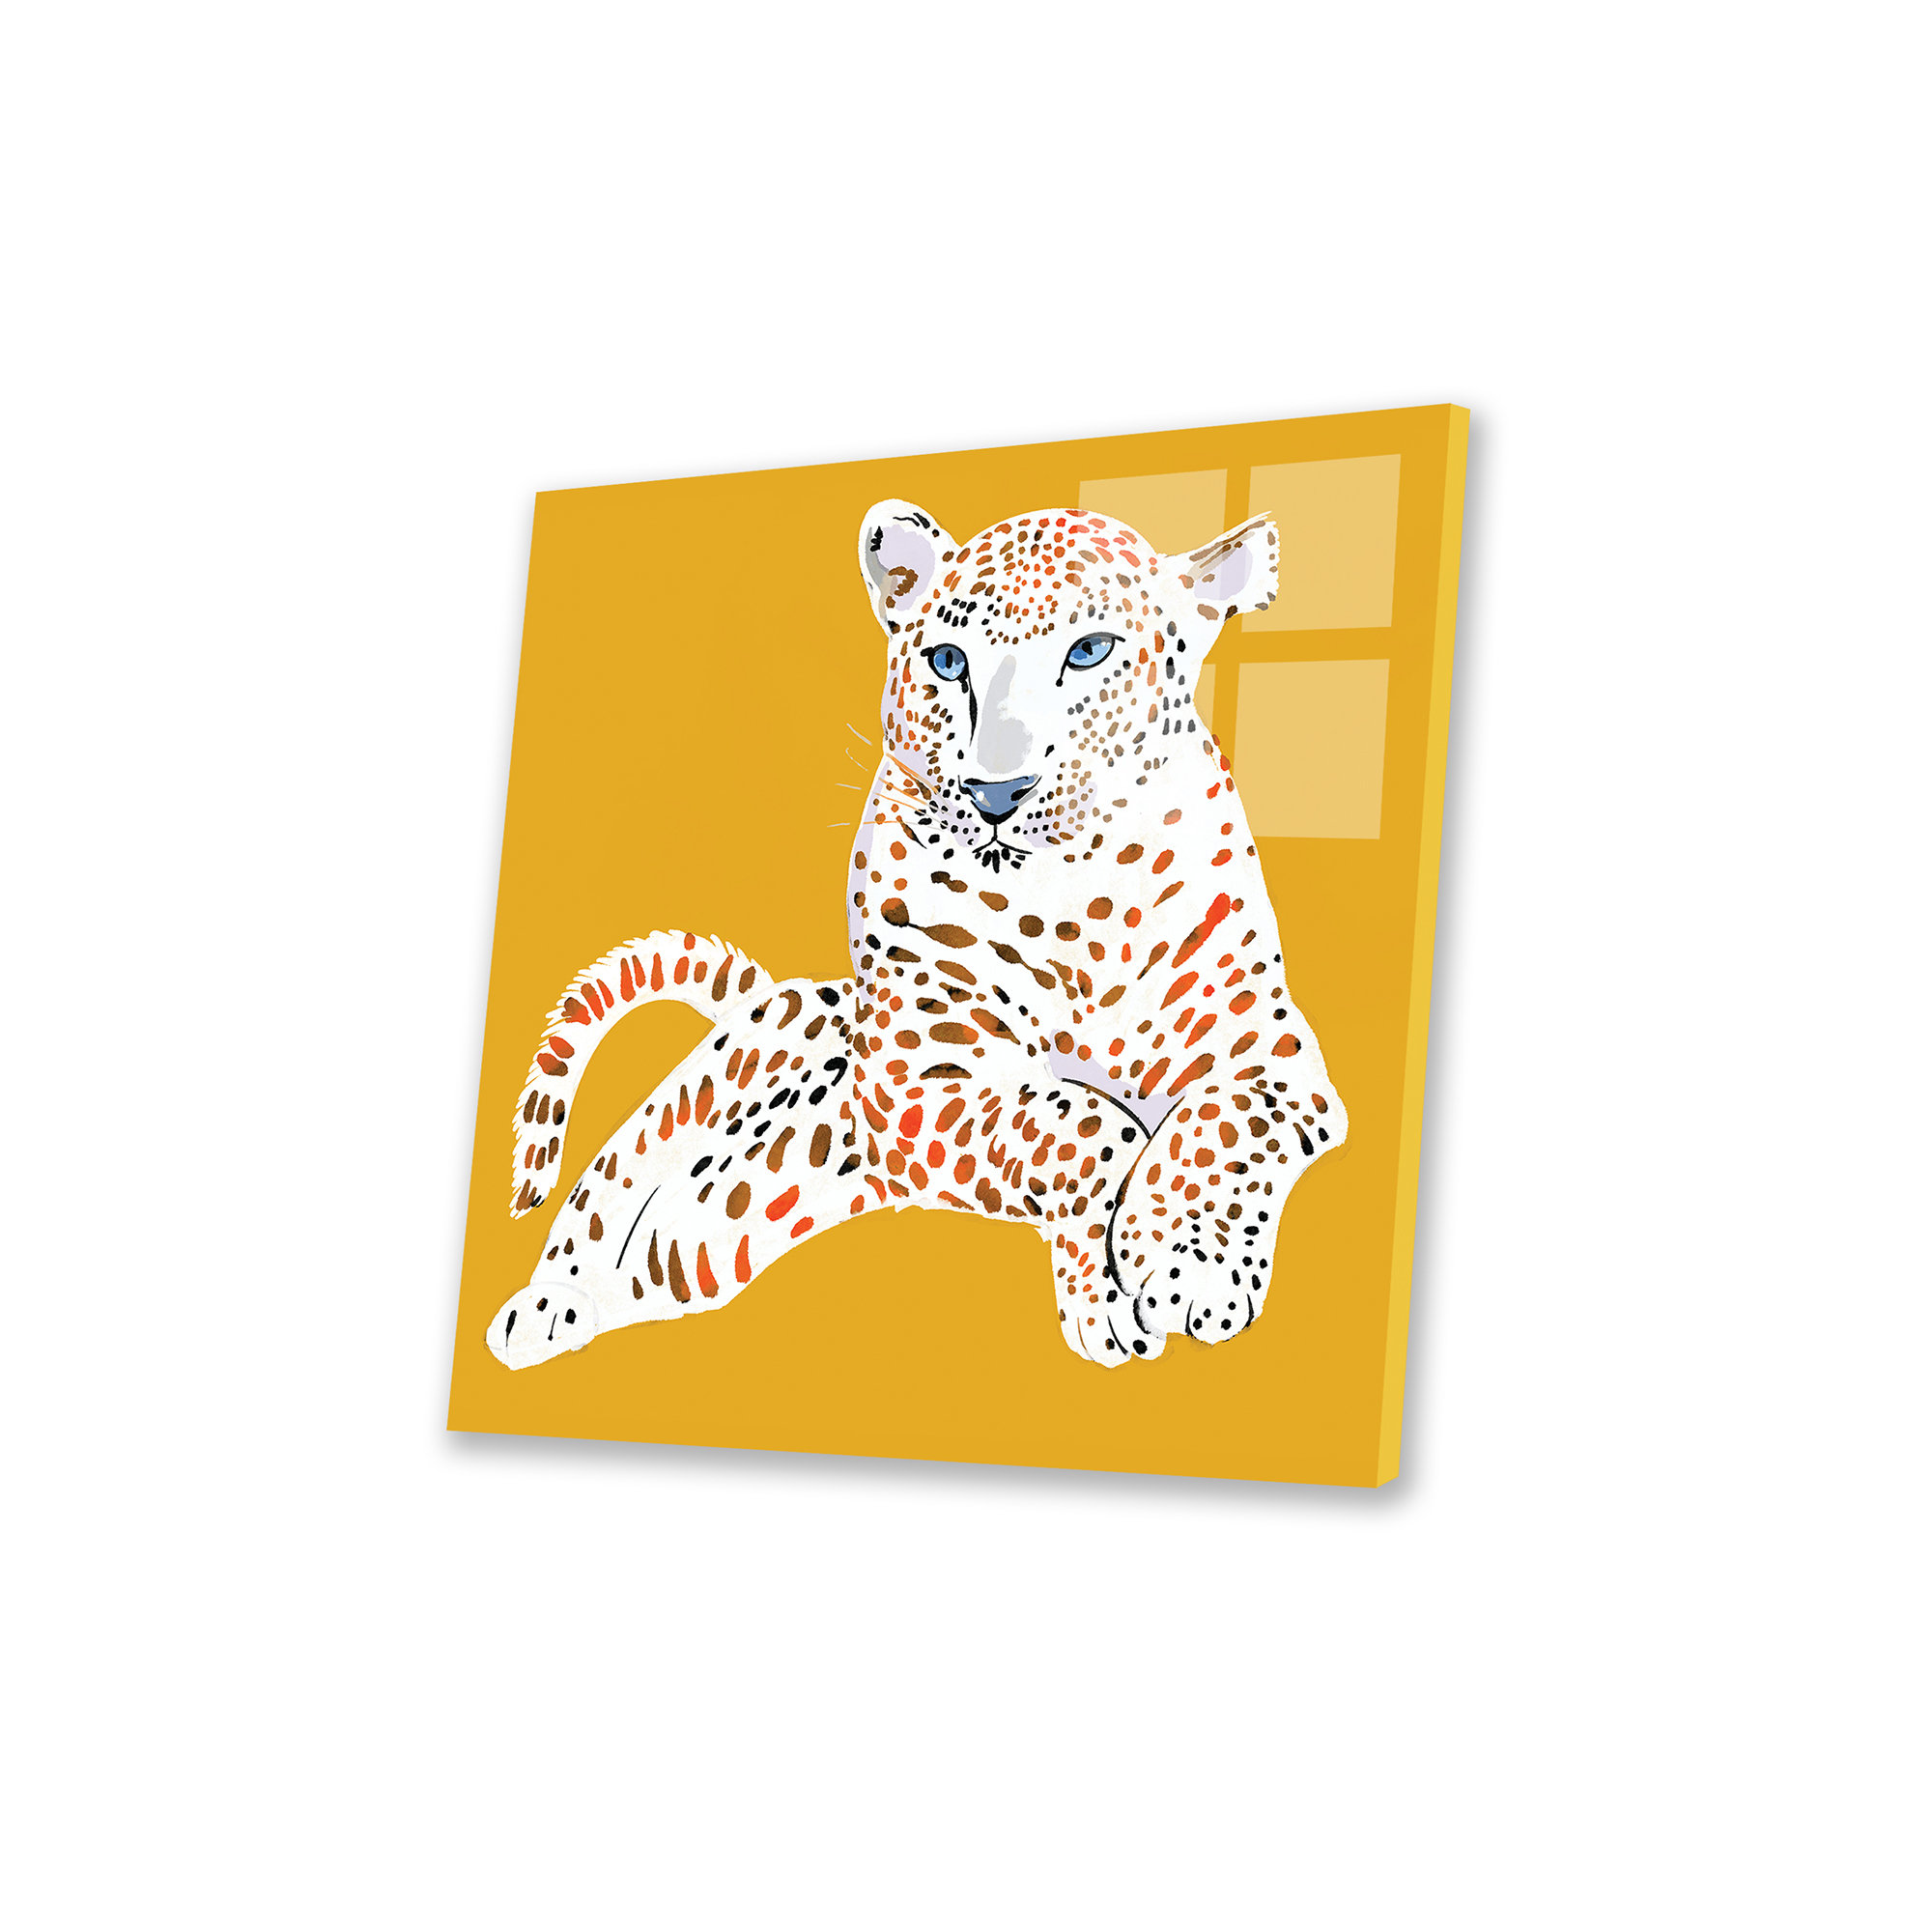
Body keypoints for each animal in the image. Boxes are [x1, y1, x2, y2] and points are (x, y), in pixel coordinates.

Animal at [485, 497, 1348, 1370]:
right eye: (946, 660)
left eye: (1090, 651)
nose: (995, 791)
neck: (1076, 905)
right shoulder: (917, 1079)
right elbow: (1088, 1123)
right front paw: (1120, 1277)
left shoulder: (1271, 1054)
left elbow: (1217, 1128)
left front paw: (1191, 1265)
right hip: (683, 1124)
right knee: (600, 1192)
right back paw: (538, 1310)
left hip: (697, 1246)